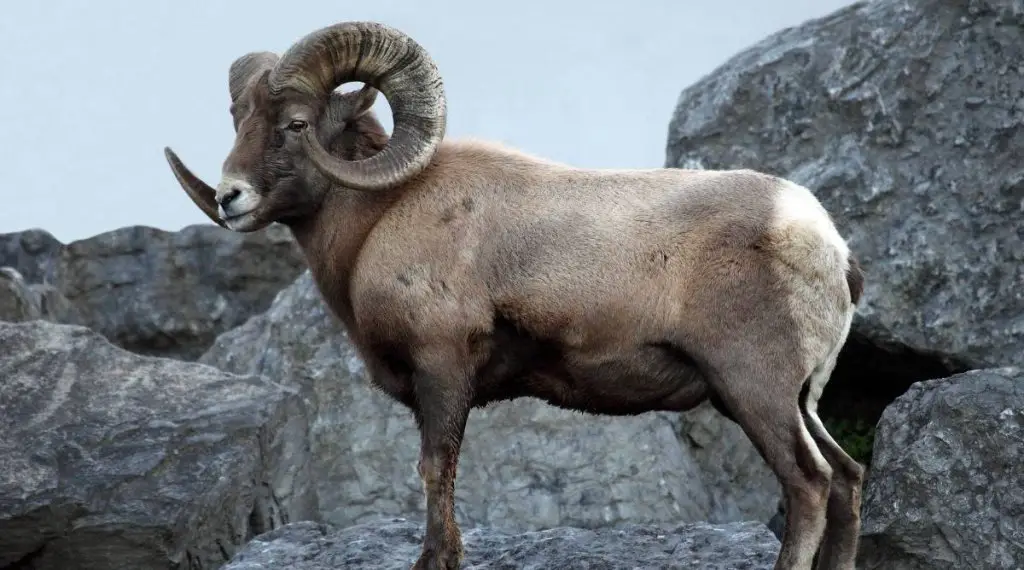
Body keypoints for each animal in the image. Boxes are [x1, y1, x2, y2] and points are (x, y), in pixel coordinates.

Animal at [163, 20, 866, 570]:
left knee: (810, 485)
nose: (229, 198)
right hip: (795, 401)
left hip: (756, 391)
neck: (379, 219)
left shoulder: (443, 370)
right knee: (846, 480)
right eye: (240, 120)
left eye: (297, 124)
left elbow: (436, 469)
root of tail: (826, 243)